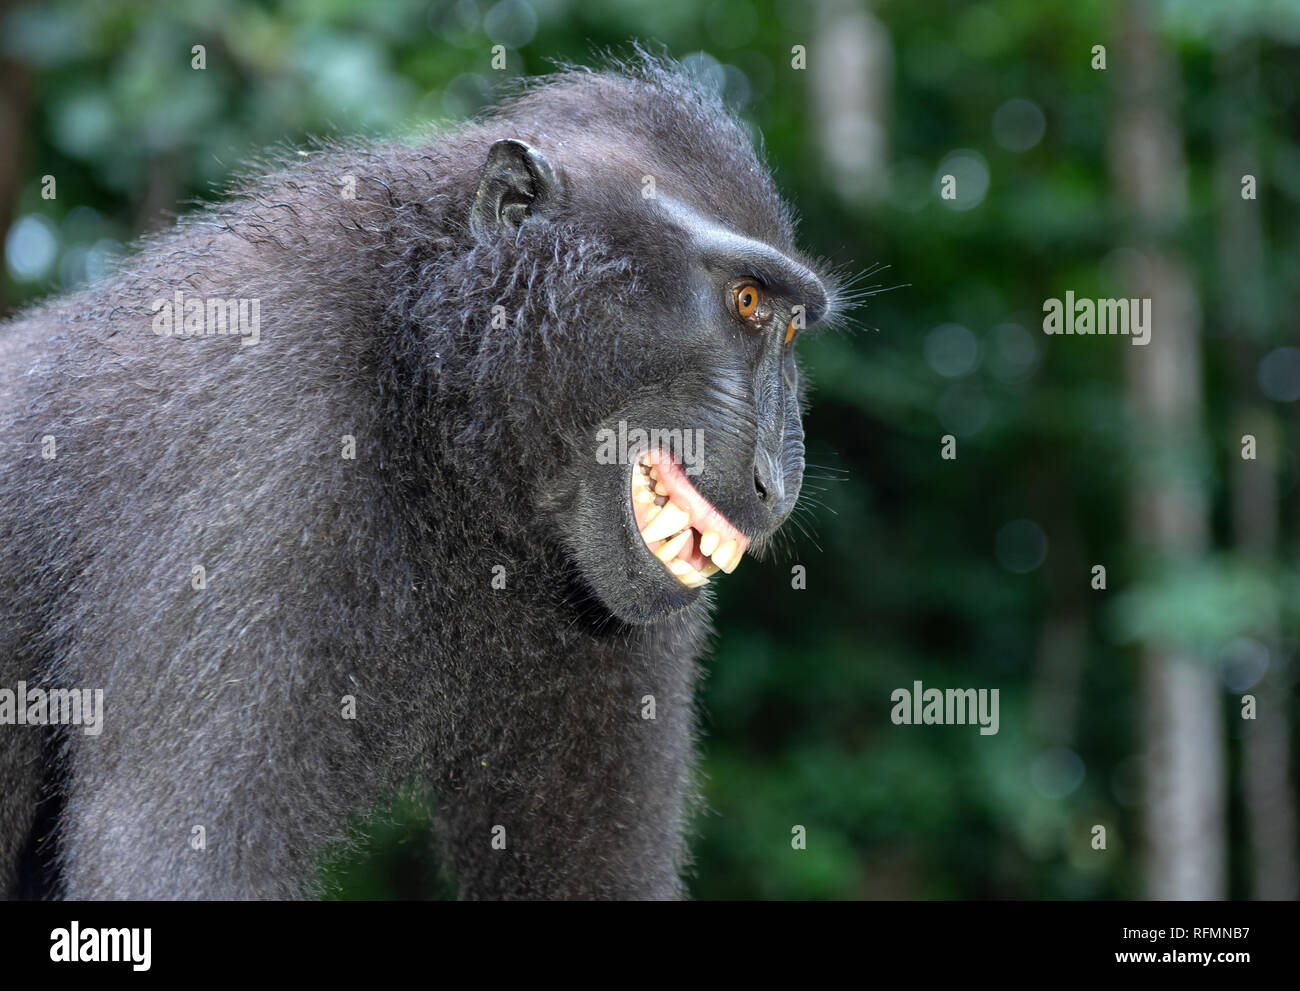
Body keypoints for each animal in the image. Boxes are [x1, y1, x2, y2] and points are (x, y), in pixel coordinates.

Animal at [0, 56, 838, 900]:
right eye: (747, 301)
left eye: (793, 330)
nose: (776, 478)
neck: (432, 383)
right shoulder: (259, 430)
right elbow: (174, 856)